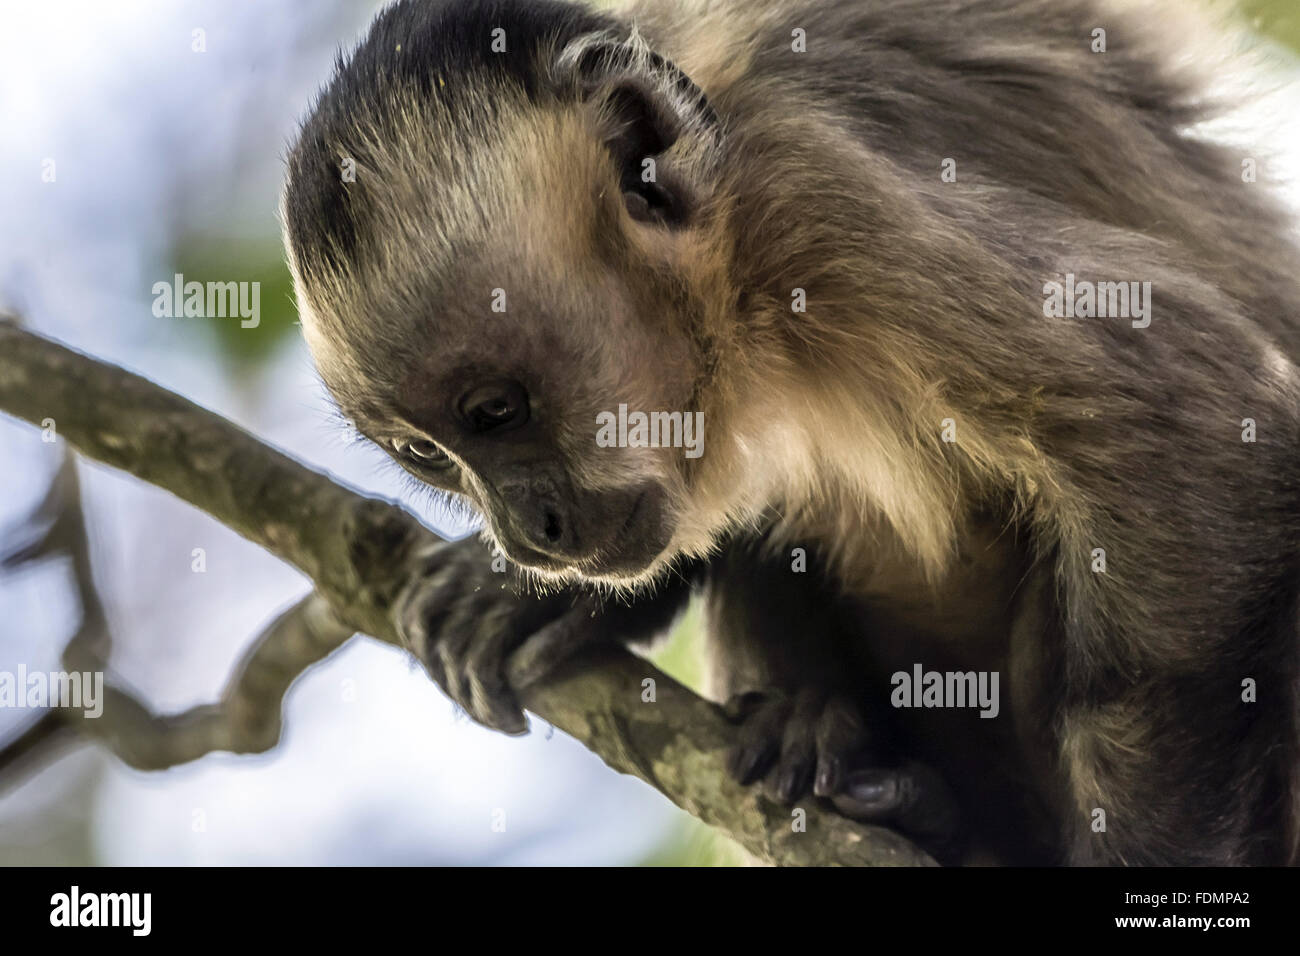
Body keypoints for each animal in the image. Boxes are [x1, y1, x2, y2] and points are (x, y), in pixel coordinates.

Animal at [280, 0, 1300, 865]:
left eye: (495, 410)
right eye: (428, 456)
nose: (527, 533)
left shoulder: (818, 195)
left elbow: (1199, 415)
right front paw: (530, 599)